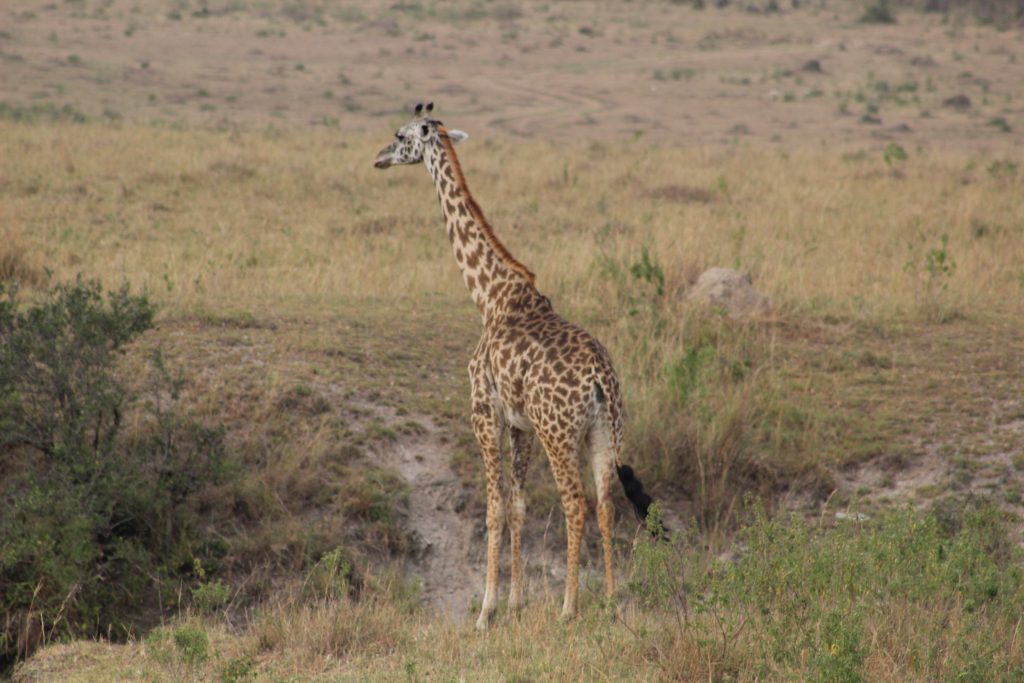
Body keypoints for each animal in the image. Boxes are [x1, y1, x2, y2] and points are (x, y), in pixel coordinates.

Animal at [374, 102, 658, 630]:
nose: (379, 157)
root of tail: (599, 382)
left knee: (575, 504)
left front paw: (487, 611)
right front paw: (516, 603)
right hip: (605, 432)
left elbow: (493, 508)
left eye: (400, 135)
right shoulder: (520, 424)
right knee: (606, 504)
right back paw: (610, 603)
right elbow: (520, 506)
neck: (490, 296)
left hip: (558, 433)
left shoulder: (484, 411)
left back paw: (569, 608)